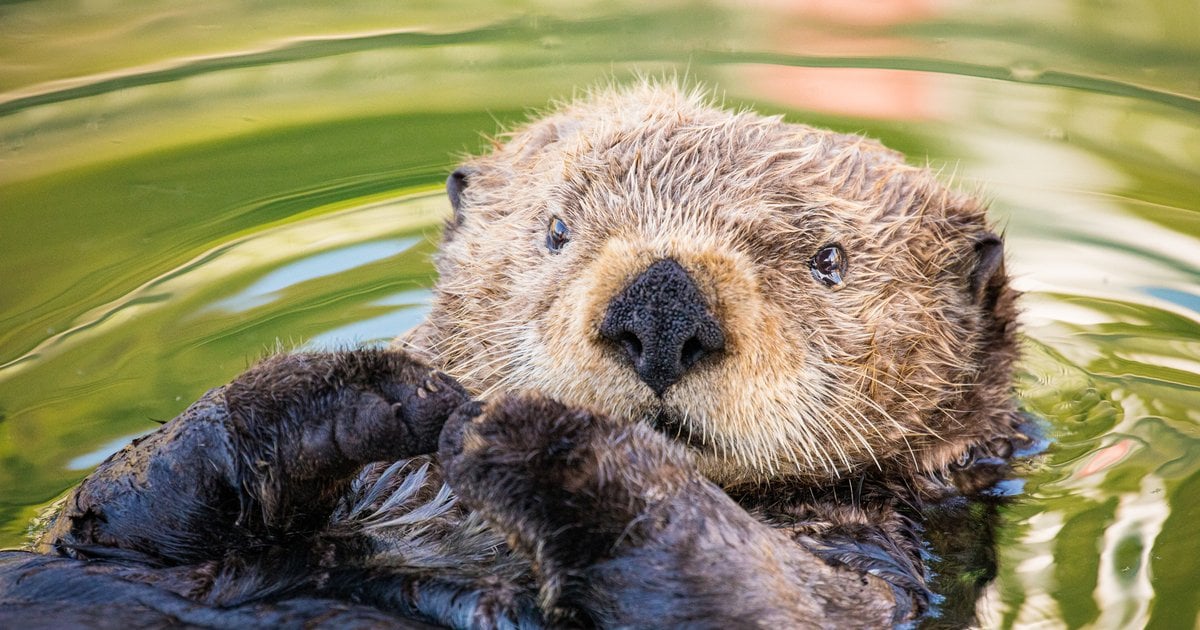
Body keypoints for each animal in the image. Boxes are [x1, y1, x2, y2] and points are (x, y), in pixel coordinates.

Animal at [0, 83, 1034, 628]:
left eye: (829, 261)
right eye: (556, 230)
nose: (663, 305)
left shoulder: (884, 561)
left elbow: (765, 596)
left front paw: (537, 435)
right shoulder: (136, 544)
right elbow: (121, 511)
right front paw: (364, 393)